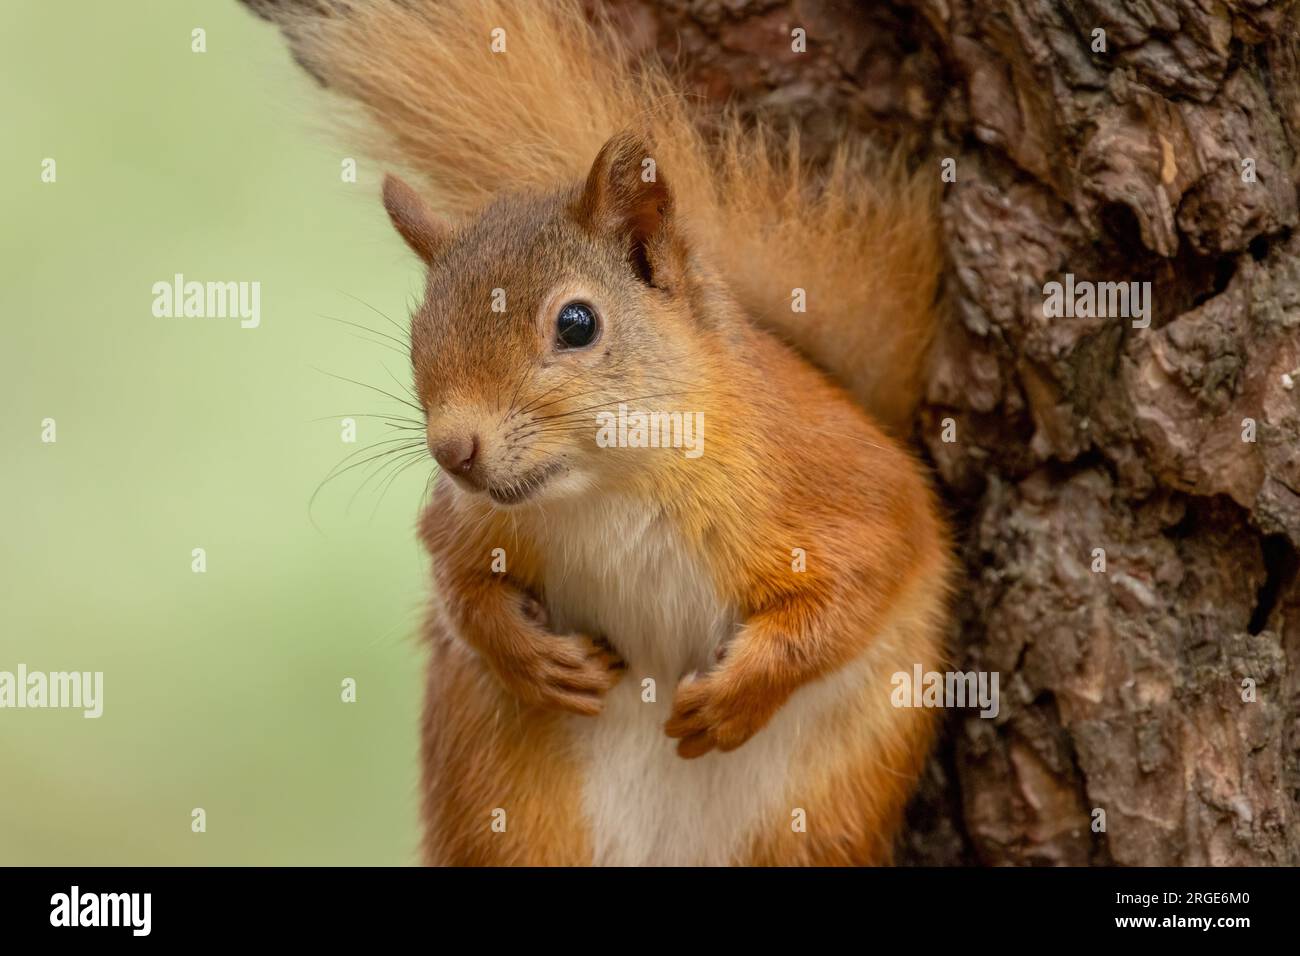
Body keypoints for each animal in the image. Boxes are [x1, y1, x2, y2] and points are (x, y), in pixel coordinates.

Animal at [248, 0, 954, 865]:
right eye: (417, 334)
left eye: (577, 323)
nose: (453, 451)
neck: (613, 484)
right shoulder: (468, 517)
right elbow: (457, 580)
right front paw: (530, 658)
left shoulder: (837, 481)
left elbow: (866, 578)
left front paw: (736, 696)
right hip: (519, 812)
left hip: (816, 822)